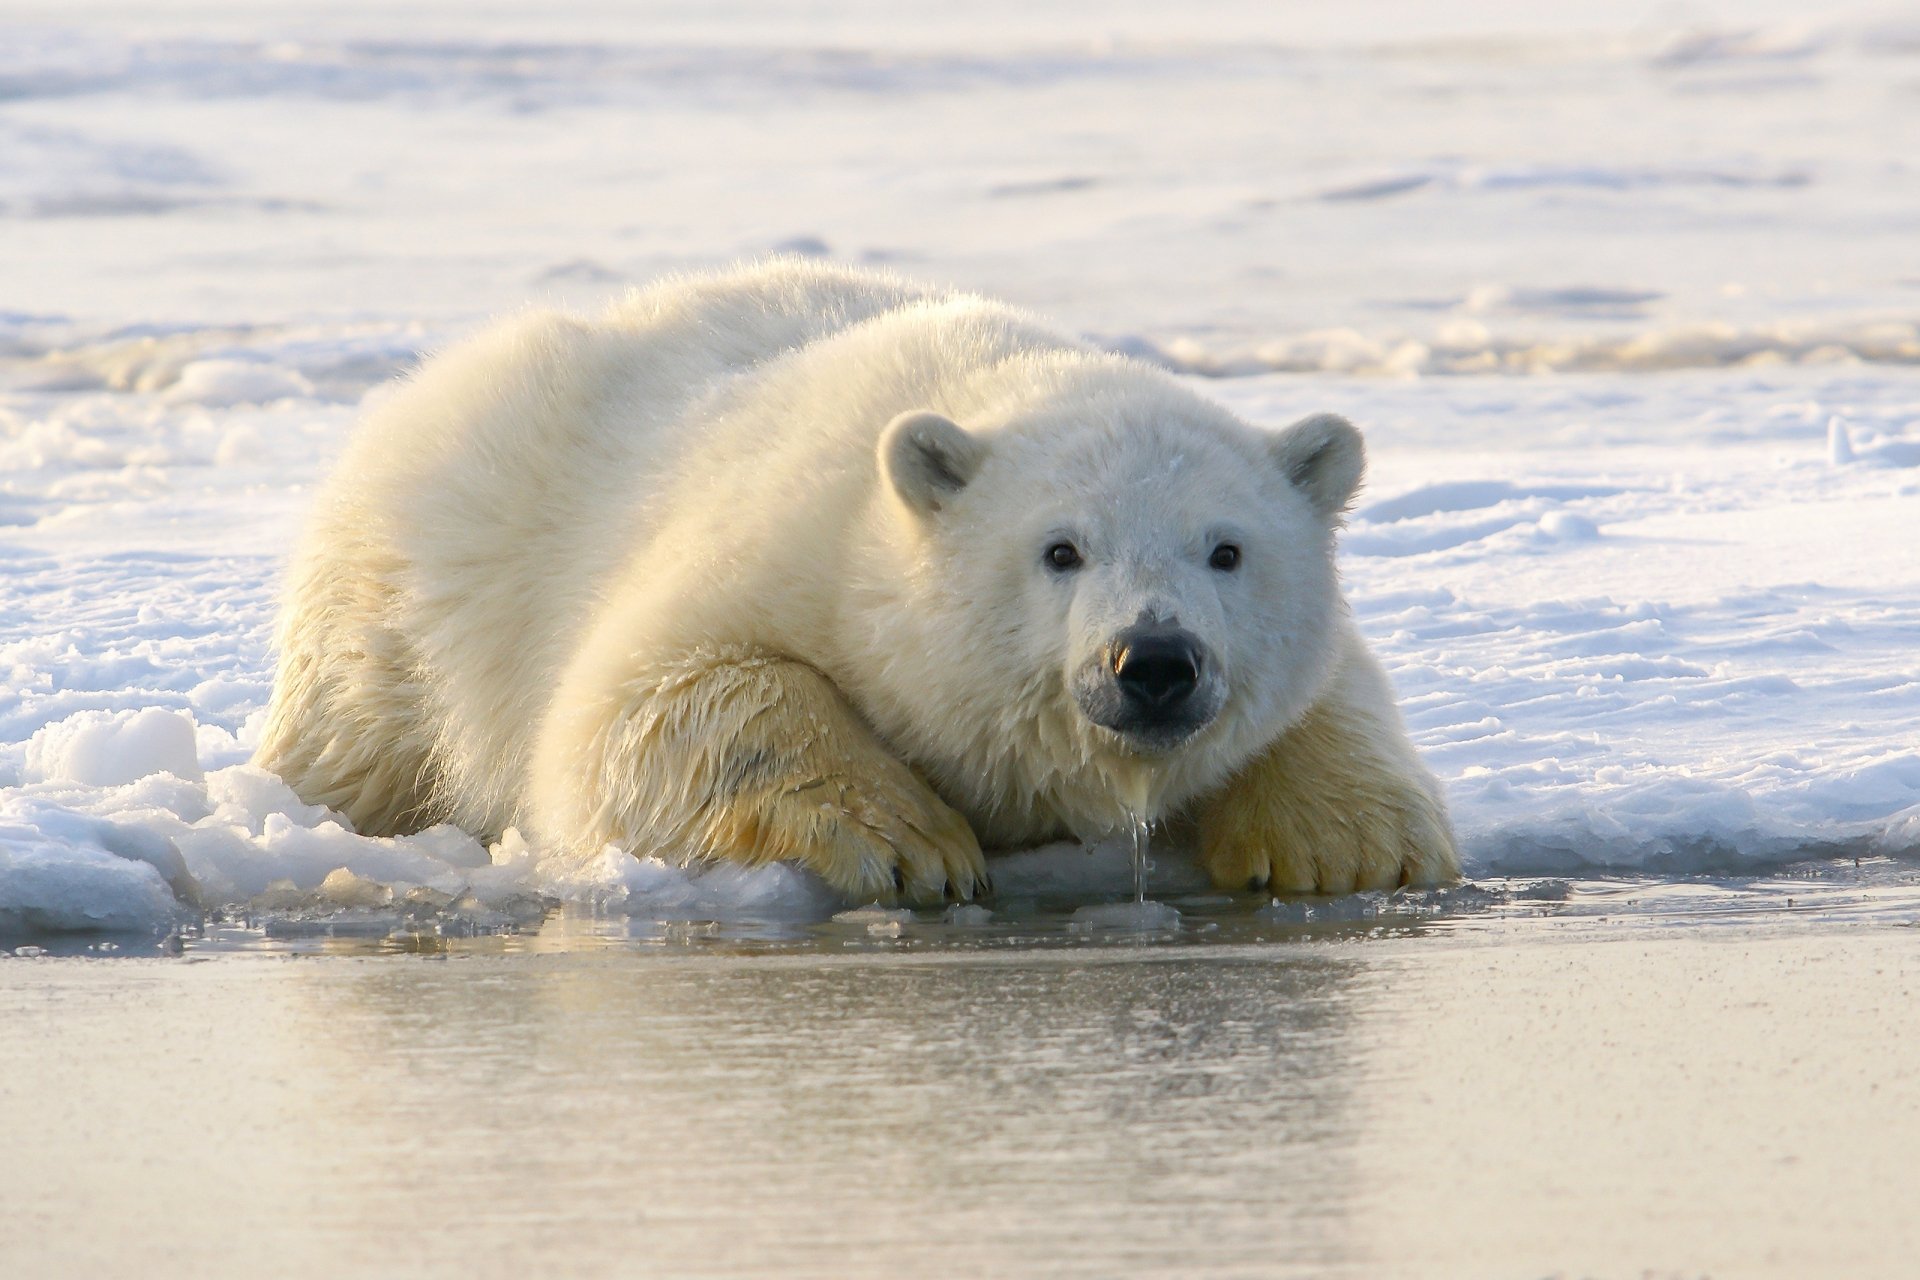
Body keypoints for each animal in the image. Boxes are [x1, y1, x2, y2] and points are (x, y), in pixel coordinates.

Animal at [254, 259, 1458, 903]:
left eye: (1226, 549)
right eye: (1060, 548)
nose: (1153, 661)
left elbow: (1334, 689)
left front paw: (1346, 846)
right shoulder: (781, 545)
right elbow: (645, 704)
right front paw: (911, 843)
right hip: (423, 574)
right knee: (361, 726)